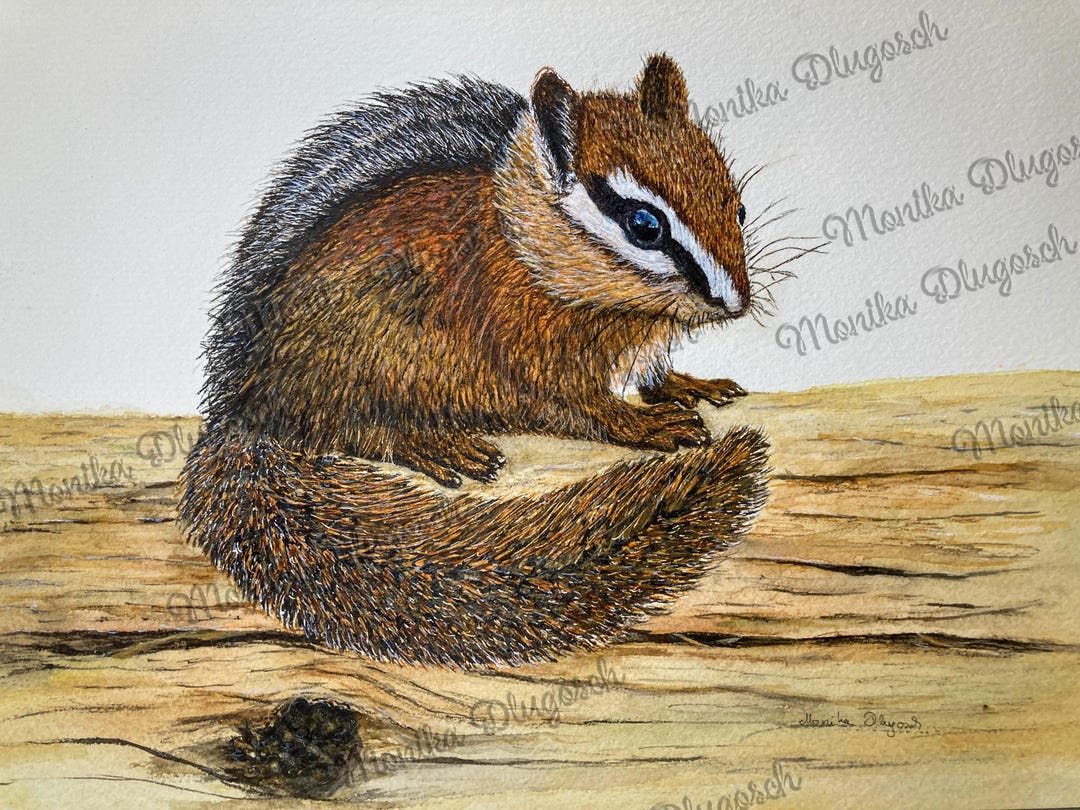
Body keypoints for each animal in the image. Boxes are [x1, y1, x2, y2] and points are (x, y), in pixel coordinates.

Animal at [179, 54, 773, 668]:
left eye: (737, 206)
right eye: (644, 225)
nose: (736, 302)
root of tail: (249, 413)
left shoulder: (645, 341)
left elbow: (654, 374)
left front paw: (688, 385)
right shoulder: (532, 353)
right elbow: (583, 407)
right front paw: (643, 424)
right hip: (366, 361)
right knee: (360, 428)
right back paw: (430, 443)